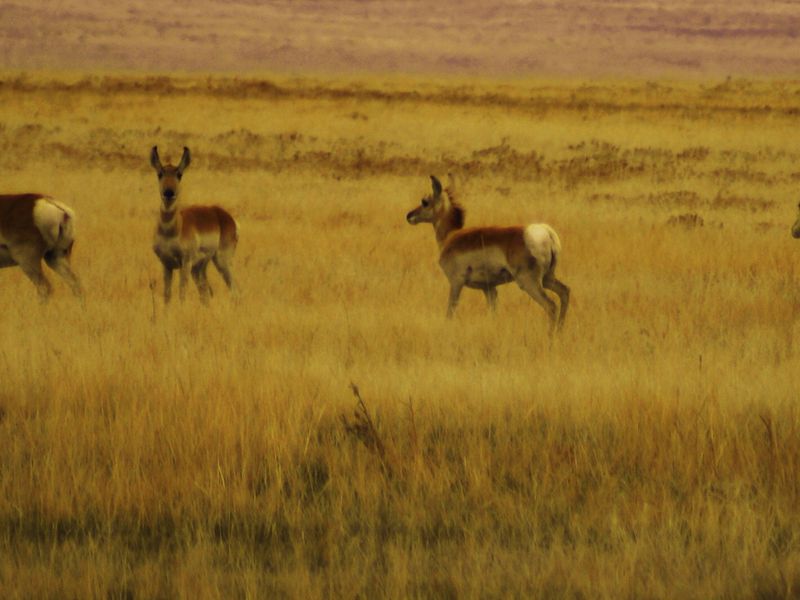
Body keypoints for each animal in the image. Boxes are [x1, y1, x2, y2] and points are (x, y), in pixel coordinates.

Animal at [150, 146, 238, 304]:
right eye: (159, 174)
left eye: (179, 174)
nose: (169, 192)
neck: (172, 231)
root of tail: (223, 215)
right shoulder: (166, 264)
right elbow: (167, 295)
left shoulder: (185, 263)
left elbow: (182, 292)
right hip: (199, 268)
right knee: (206, 293)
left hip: (221, 261)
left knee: (234, 290)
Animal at [406, 175, 570, 333]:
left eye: (425, 201)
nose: (408, 215)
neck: (451, 236)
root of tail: (546, 232)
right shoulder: (489, 289)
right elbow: (493, 314)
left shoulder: (456, 283)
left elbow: (450, 311)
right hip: (547, 279)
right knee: (565, 292)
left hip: (529, 282)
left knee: (551, 305)